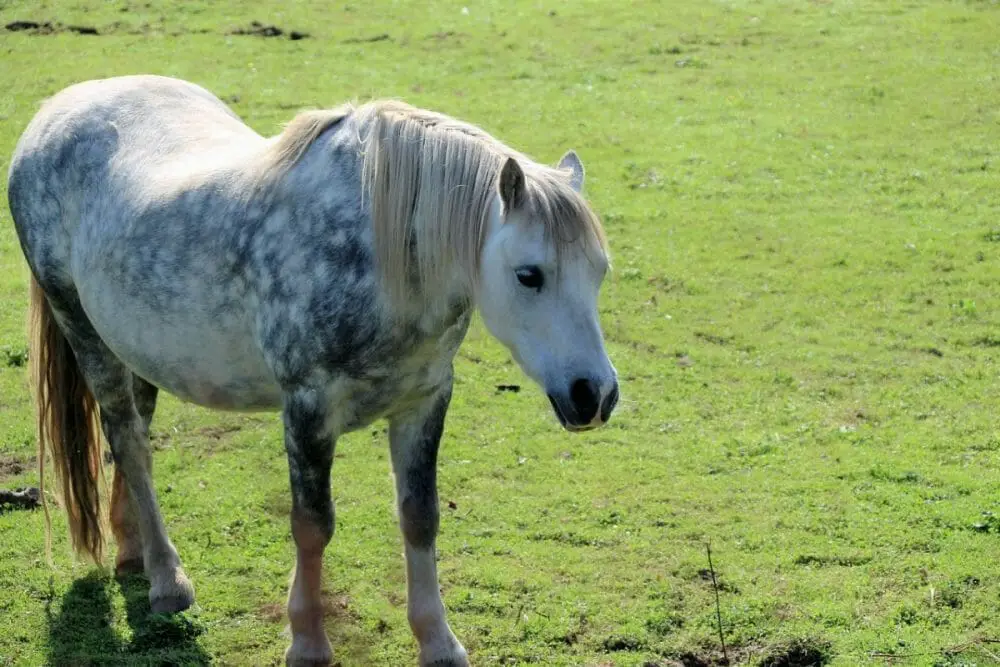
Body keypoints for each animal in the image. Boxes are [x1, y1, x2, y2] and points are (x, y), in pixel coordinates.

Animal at [7, 75, 618, 666]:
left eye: (600, 271)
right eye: (529, 275)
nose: (595, 395)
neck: (381, 262)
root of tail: (57, 109)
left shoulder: (424, 400)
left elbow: (420, 516)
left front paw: (438, 642)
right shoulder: (307, 408)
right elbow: (312, 523)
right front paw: (306, 641)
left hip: (138, 347)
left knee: (134, 437)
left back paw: (134, 549)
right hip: (80, 325)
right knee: (129, 440)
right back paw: (167, 579)